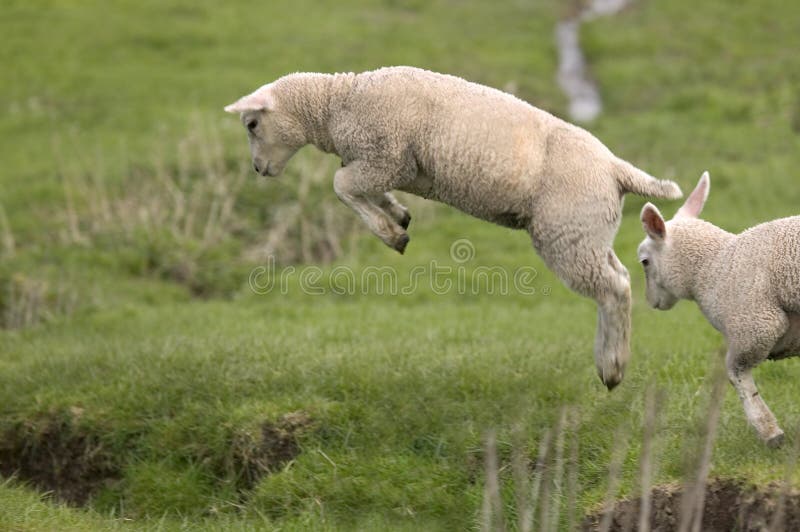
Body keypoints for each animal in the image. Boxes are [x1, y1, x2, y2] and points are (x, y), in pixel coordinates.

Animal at [225, 66, 683, 390]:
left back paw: (612, 367)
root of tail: (616, 168)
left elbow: (340, 185)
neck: (337, 105)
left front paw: (391, 233)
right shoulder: (389, 165)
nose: (258, 170)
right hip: (588, 231)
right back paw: (608, 359)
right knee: (617, 279)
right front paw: (398, 216)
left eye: (252, 124)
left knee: (613, 288)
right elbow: (359, 186)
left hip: (566, 232)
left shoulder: (385, 155)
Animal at [638, 172, 800, 446]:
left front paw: (769, 431)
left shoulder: (756, 327)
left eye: (644, 262)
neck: (712, 267)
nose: (652, 302)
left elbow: (735, 374)